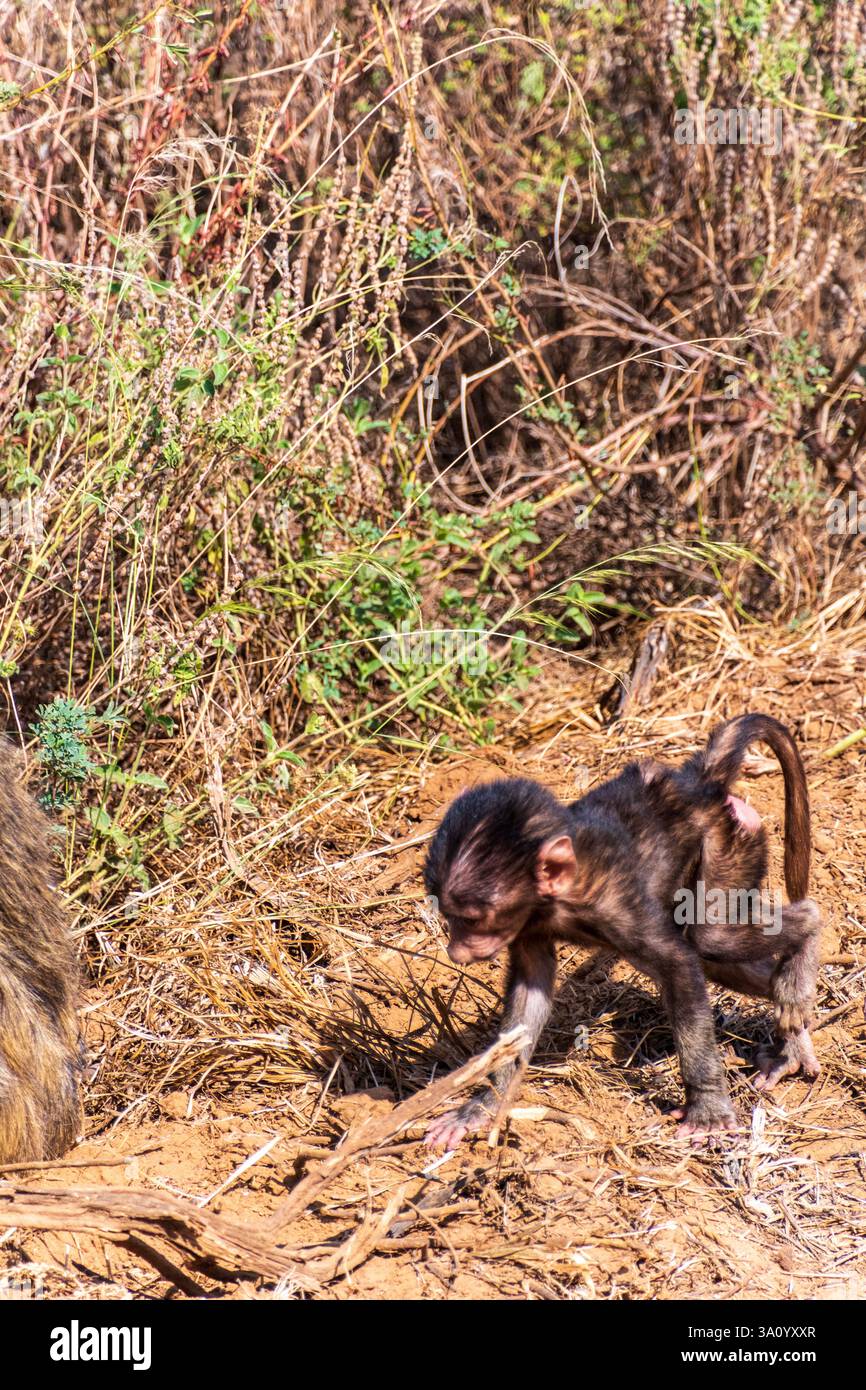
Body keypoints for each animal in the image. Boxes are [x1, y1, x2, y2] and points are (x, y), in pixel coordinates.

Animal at [423, 713, 820, 1148]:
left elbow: (678, 963)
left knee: (713, 936)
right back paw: (791, 1030)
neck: (561, 892)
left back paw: (806, 937)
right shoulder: (528, 926)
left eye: (473, 918)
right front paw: (483, 1105)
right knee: (711, 955)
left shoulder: (614, 903)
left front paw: (707, 1108)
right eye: (451, 916)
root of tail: (696, 783)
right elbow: (530, 994)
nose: (457, 951)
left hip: (729, 841)